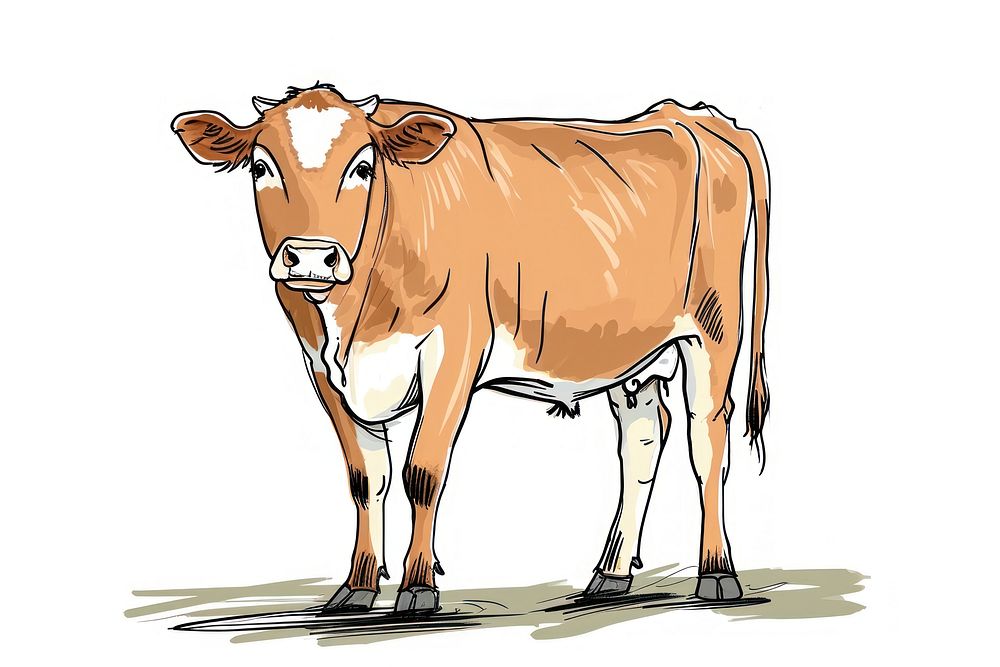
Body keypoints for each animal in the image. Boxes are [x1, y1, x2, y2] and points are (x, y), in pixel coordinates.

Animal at [171, 83, 770, 615]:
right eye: (261, 168)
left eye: (363, 168)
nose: (313, 258)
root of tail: (694, 115)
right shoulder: (321, 367)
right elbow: (365, 479)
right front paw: (357, 587)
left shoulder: (453, 350)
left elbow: (422, 473)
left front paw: (417, 587)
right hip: (631, 354)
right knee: (642, 444)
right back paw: (610, 576)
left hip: (714, 331)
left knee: (706, 444)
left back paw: (717, 574)